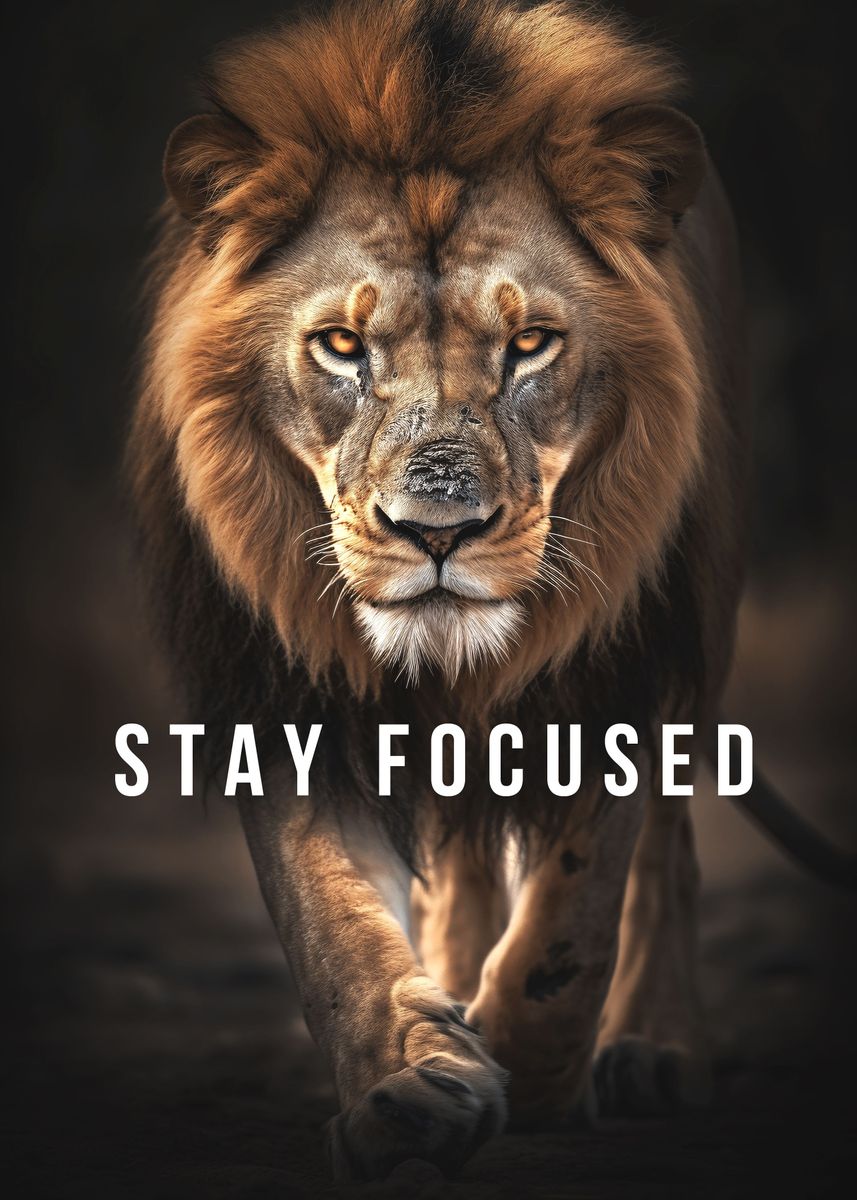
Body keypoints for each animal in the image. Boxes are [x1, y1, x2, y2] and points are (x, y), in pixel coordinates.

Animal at [130, 0, 750, 1180]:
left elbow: (578, 906)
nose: (436, 532)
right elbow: (323, 913)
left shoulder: (623, 659)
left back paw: (655, 1046)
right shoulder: (270, 678)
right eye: (339, 345)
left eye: (529, 344)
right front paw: (408, 1088)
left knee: (666, 850)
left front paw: (532, 1066)